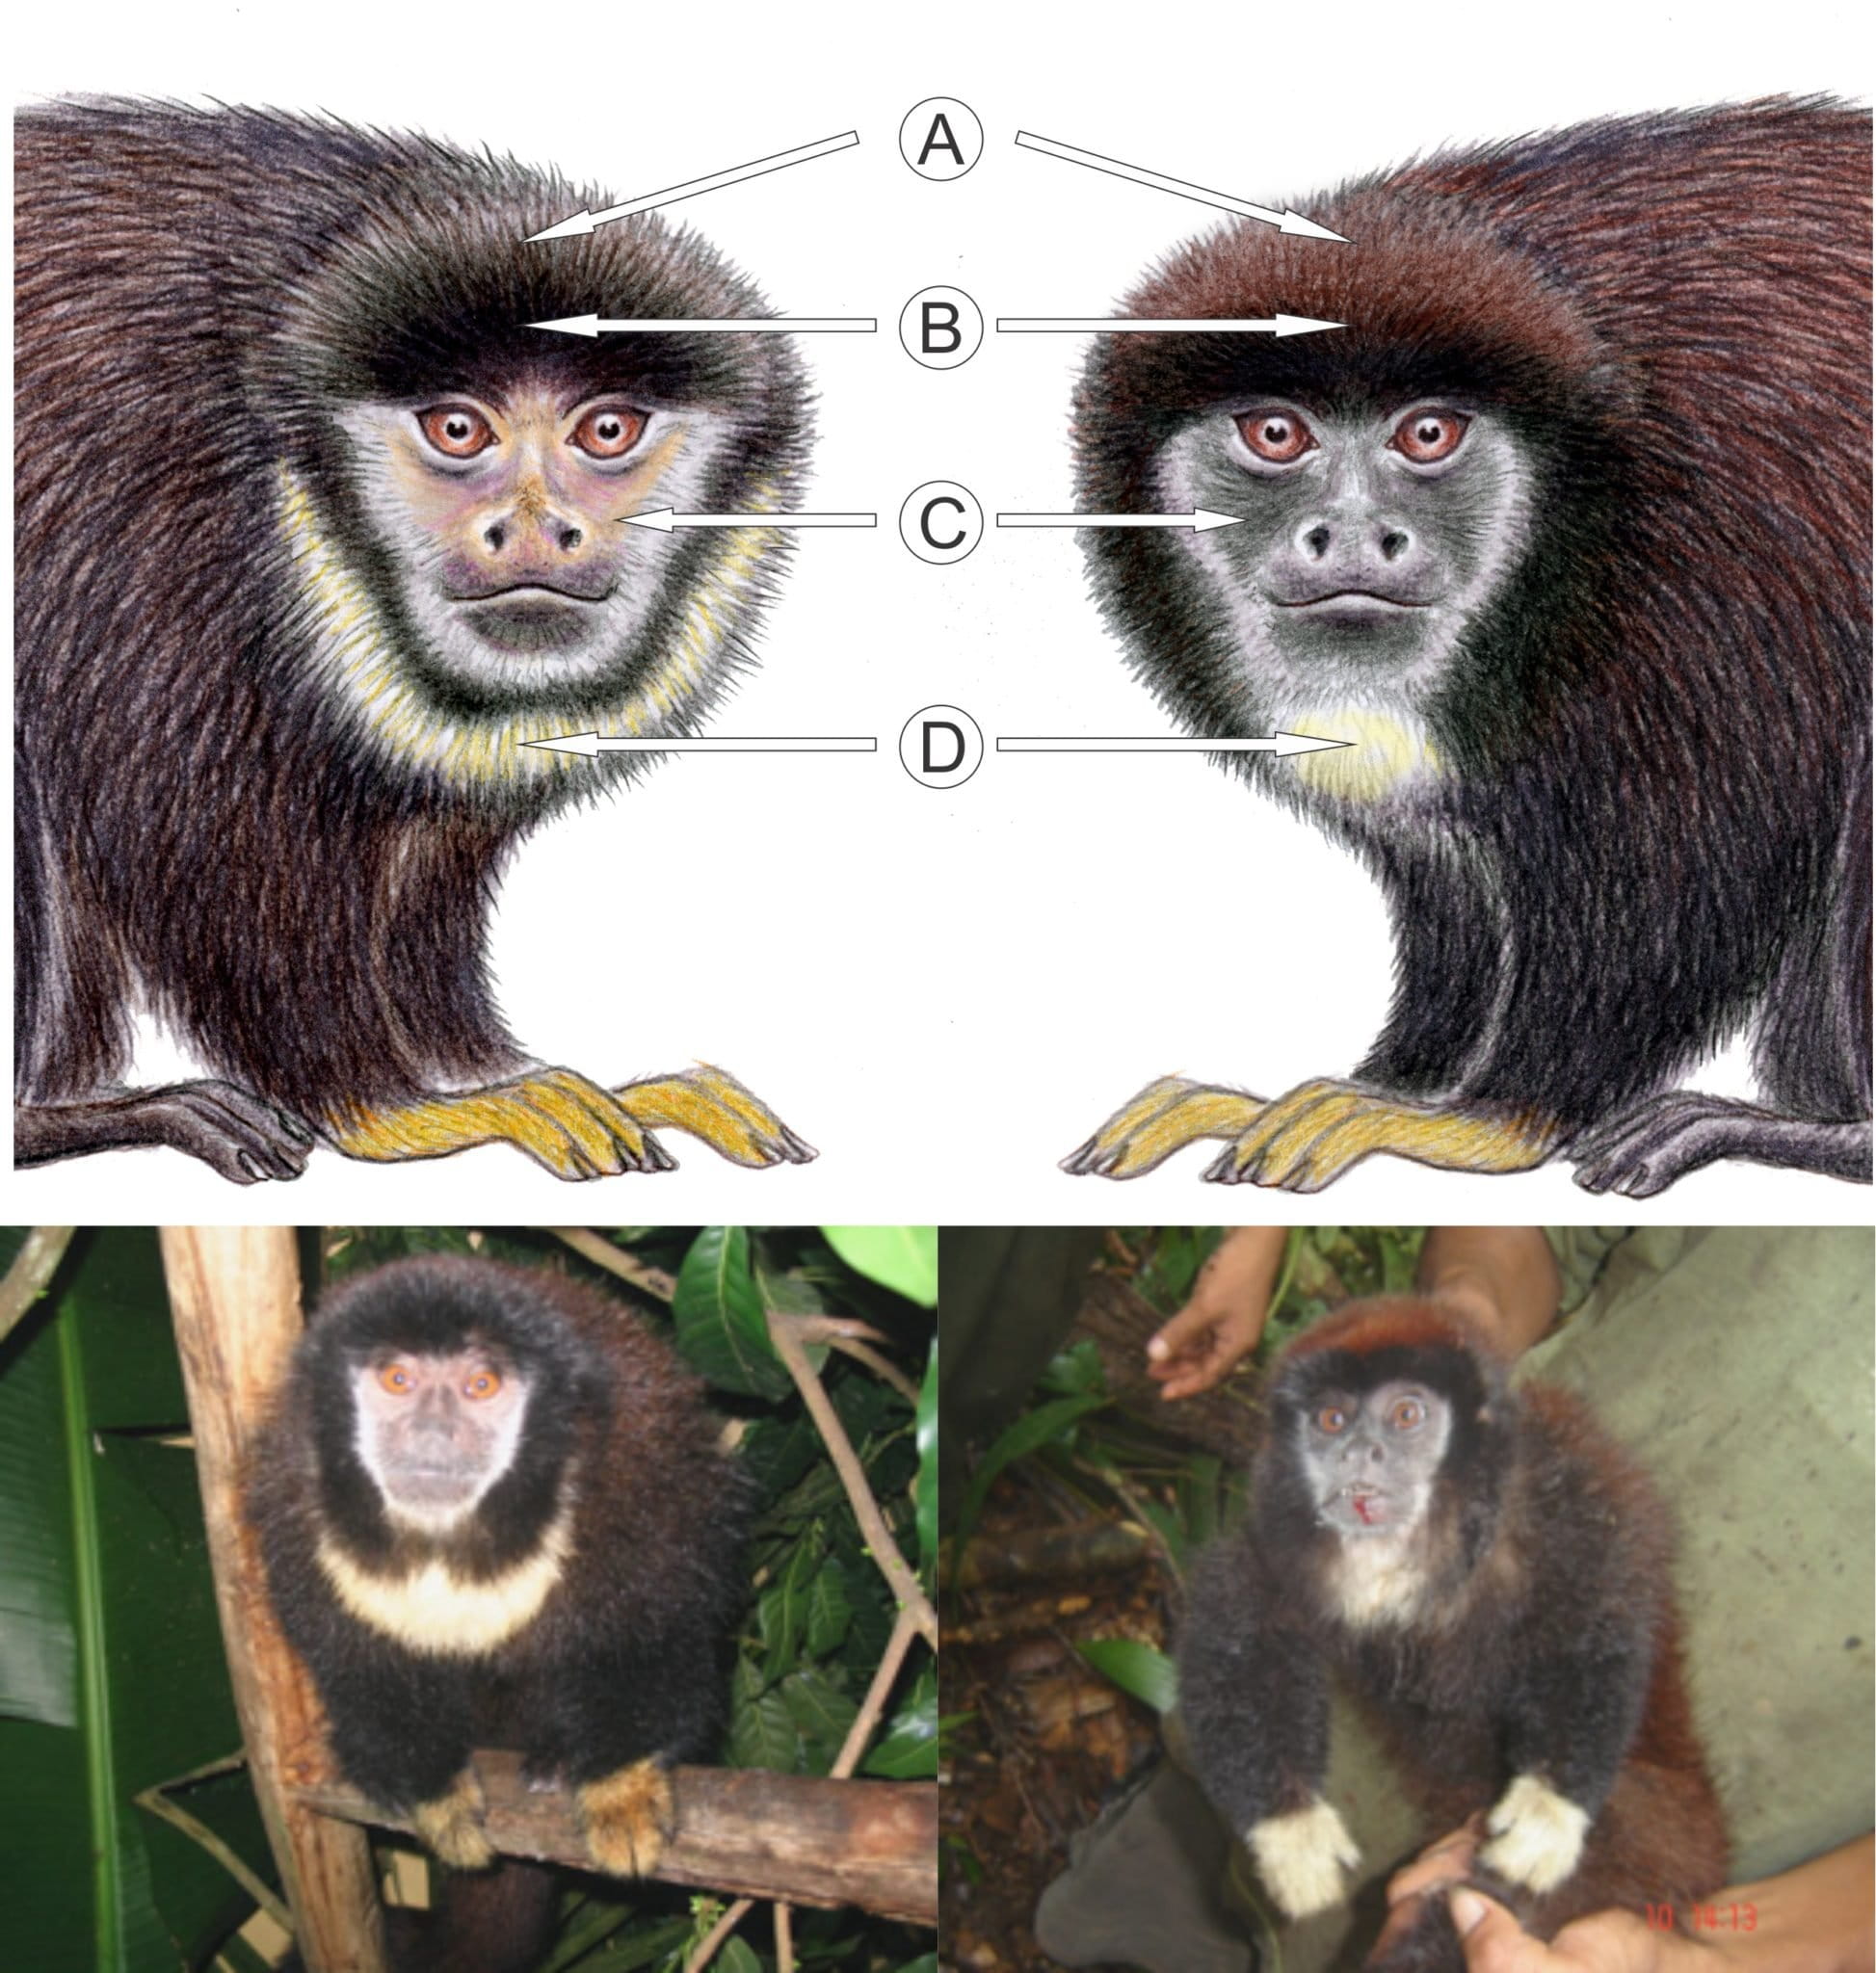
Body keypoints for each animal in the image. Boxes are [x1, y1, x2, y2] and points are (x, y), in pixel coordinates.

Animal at [15, 100, 816, 1182]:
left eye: (606, 431)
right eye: (457, 430)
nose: (534, 528)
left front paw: (507, 1077)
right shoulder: (166, 539)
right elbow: (185, 832)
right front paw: (391, 1113)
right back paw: (64, 1121)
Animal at [247, 1255, 749, 1971]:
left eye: (480, 1385)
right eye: (398, 1380)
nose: (433, 1434)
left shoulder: (641, 1468)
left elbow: (653, 1628)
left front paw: (619, 1783)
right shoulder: (289, 1494)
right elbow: (359, 1670)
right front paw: (432, 1793)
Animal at [1062, 100, 1871, 1196]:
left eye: (1428, 434)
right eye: (1276, 433)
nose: (1354, 534)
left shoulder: (1712, 555)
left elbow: (1709, 850)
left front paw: (1490, 1120)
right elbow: (1453, 883)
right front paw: (1378, 1087)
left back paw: (1825, 1135)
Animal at [1175, 1299, 1727, 1971]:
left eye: (1406, 1415)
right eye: (1331, 1419)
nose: (1358, 1452)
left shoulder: (1573, 1490)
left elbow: (1593, 1627)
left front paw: (1551, 1803)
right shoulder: (1280, 1530)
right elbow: (1242, 1618)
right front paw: (1290, 1832)